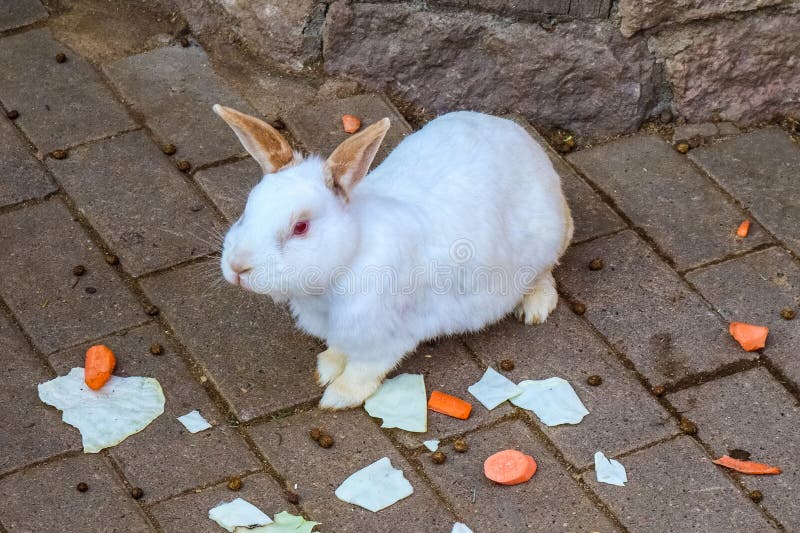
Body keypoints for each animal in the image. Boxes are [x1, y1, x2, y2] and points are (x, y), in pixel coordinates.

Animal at [213, 105, 573, 409]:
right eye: (247, 210)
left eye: (300, 227)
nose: (237, 268)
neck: (349, 258)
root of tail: (525, 141)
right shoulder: (341, 332)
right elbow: (339, 352)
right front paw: (326, 367)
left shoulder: (384, 339)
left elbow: (363, 372)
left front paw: (337, 397)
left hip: (544, 246)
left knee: (545, 274)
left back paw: (535, 308)